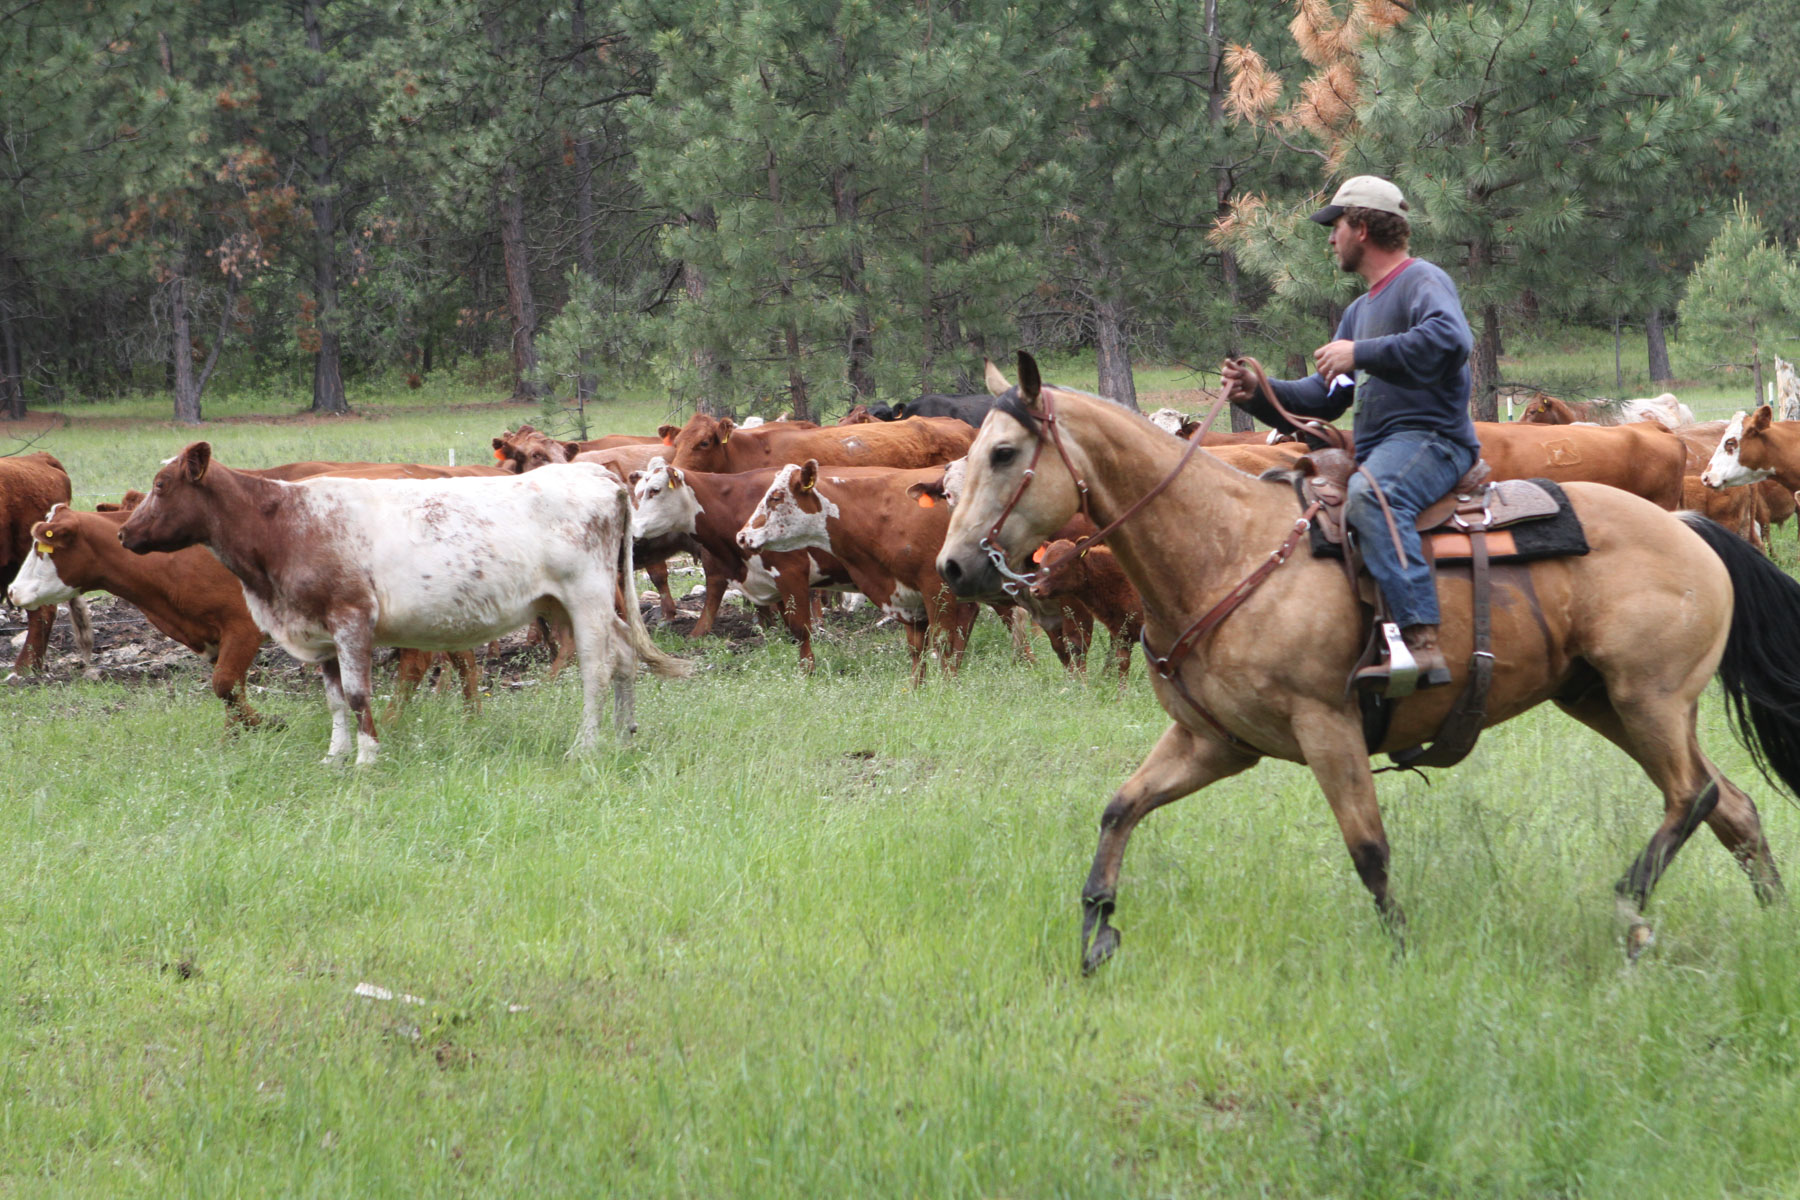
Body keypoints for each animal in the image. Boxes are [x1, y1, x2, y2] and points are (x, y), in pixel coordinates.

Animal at [938, 353, 1798, 973]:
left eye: (1006, 453)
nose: (953, 566)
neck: (1227, 547)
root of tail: (1685, 524)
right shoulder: (1213, 742)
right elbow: (1120, 809)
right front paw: (1096, 933)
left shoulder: (1326, 727)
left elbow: (1369, 849)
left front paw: (1401, 955)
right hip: (1604, 701)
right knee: (1731, 806)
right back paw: (1769, 924)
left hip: (1650, 697)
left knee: (1691, 796)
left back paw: (1629, 910)